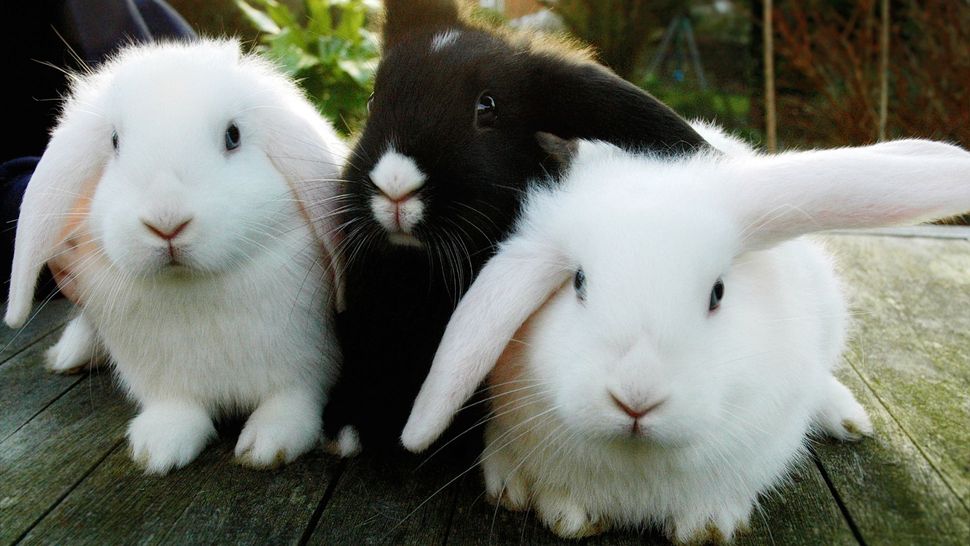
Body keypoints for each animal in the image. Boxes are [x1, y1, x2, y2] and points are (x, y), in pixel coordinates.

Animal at [4, 39, 348, 474]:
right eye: (114, 141)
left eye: (233, 135)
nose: (166, 222)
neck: (193, 289)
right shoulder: (163, 380)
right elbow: (177, 408)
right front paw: (157, 449)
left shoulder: (305, 365)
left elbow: (291, 399)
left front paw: (268, 445)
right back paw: (70, 355)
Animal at [401, 123, 970, 541]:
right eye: (578, 283)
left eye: (717, 292)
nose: (636, 398)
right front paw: (566, 514)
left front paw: (708, 525)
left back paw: (848, 420)